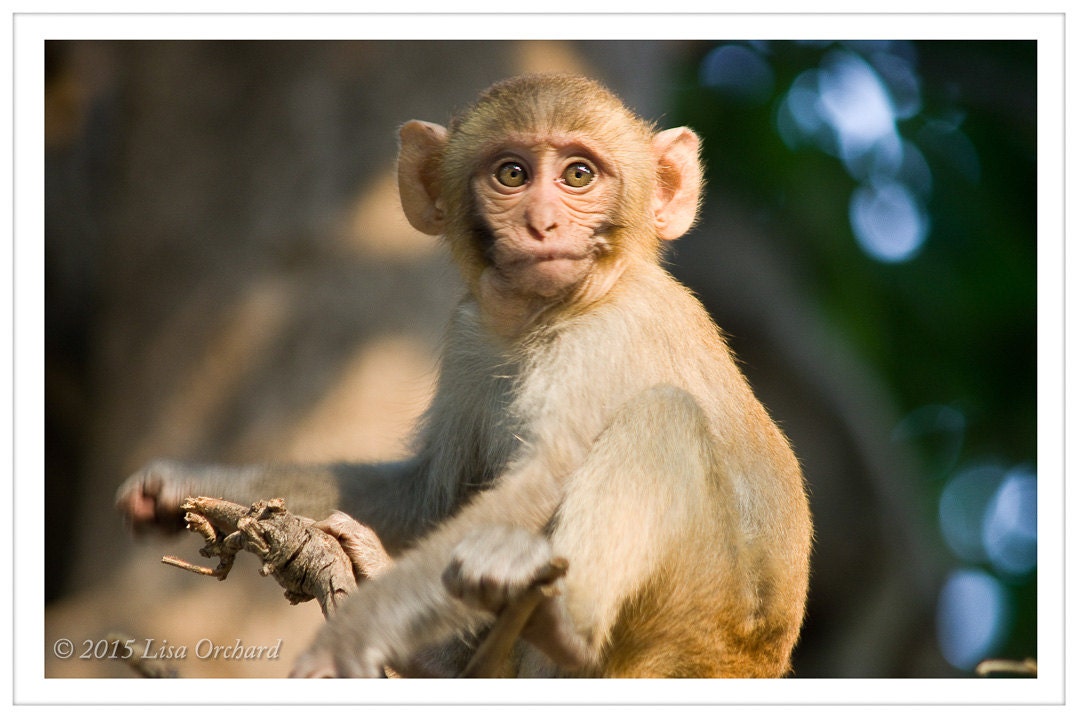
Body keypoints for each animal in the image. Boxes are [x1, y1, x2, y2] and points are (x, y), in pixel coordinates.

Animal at [116, 73, 812, 678]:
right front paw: (184, 484)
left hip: (691, 629)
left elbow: (543, 479)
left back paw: (567, 626)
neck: (549, 314)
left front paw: (352, 635)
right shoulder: (469, 335)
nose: (542, 223)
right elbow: (433, 493)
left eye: (579, 175)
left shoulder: (608, 338)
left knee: (663, 415)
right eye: (512, 174)